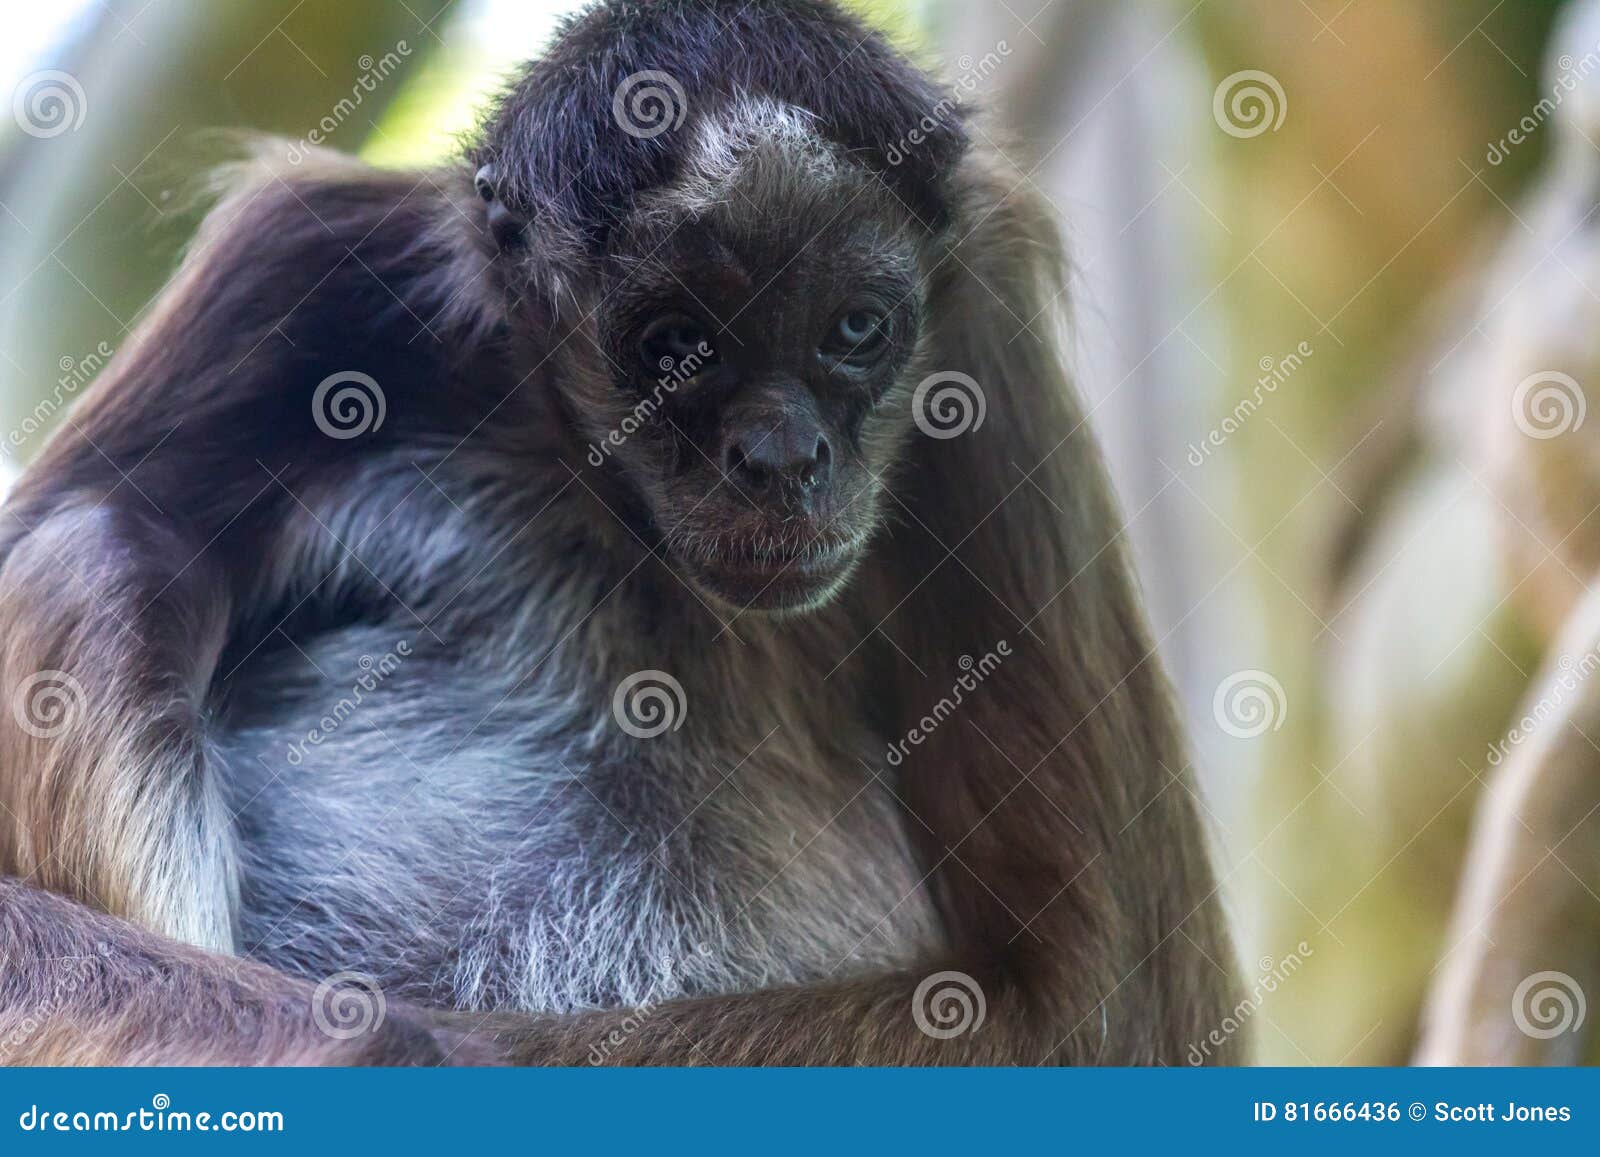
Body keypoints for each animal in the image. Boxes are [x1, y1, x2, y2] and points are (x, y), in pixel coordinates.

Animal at [0, 0, 1239, 1065]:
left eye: (855, 330)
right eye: (676, 347)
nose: (780, 457)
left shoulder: (985, 326)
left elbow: (1096, 1009)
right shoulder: (303, 260)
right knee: (100, 547)